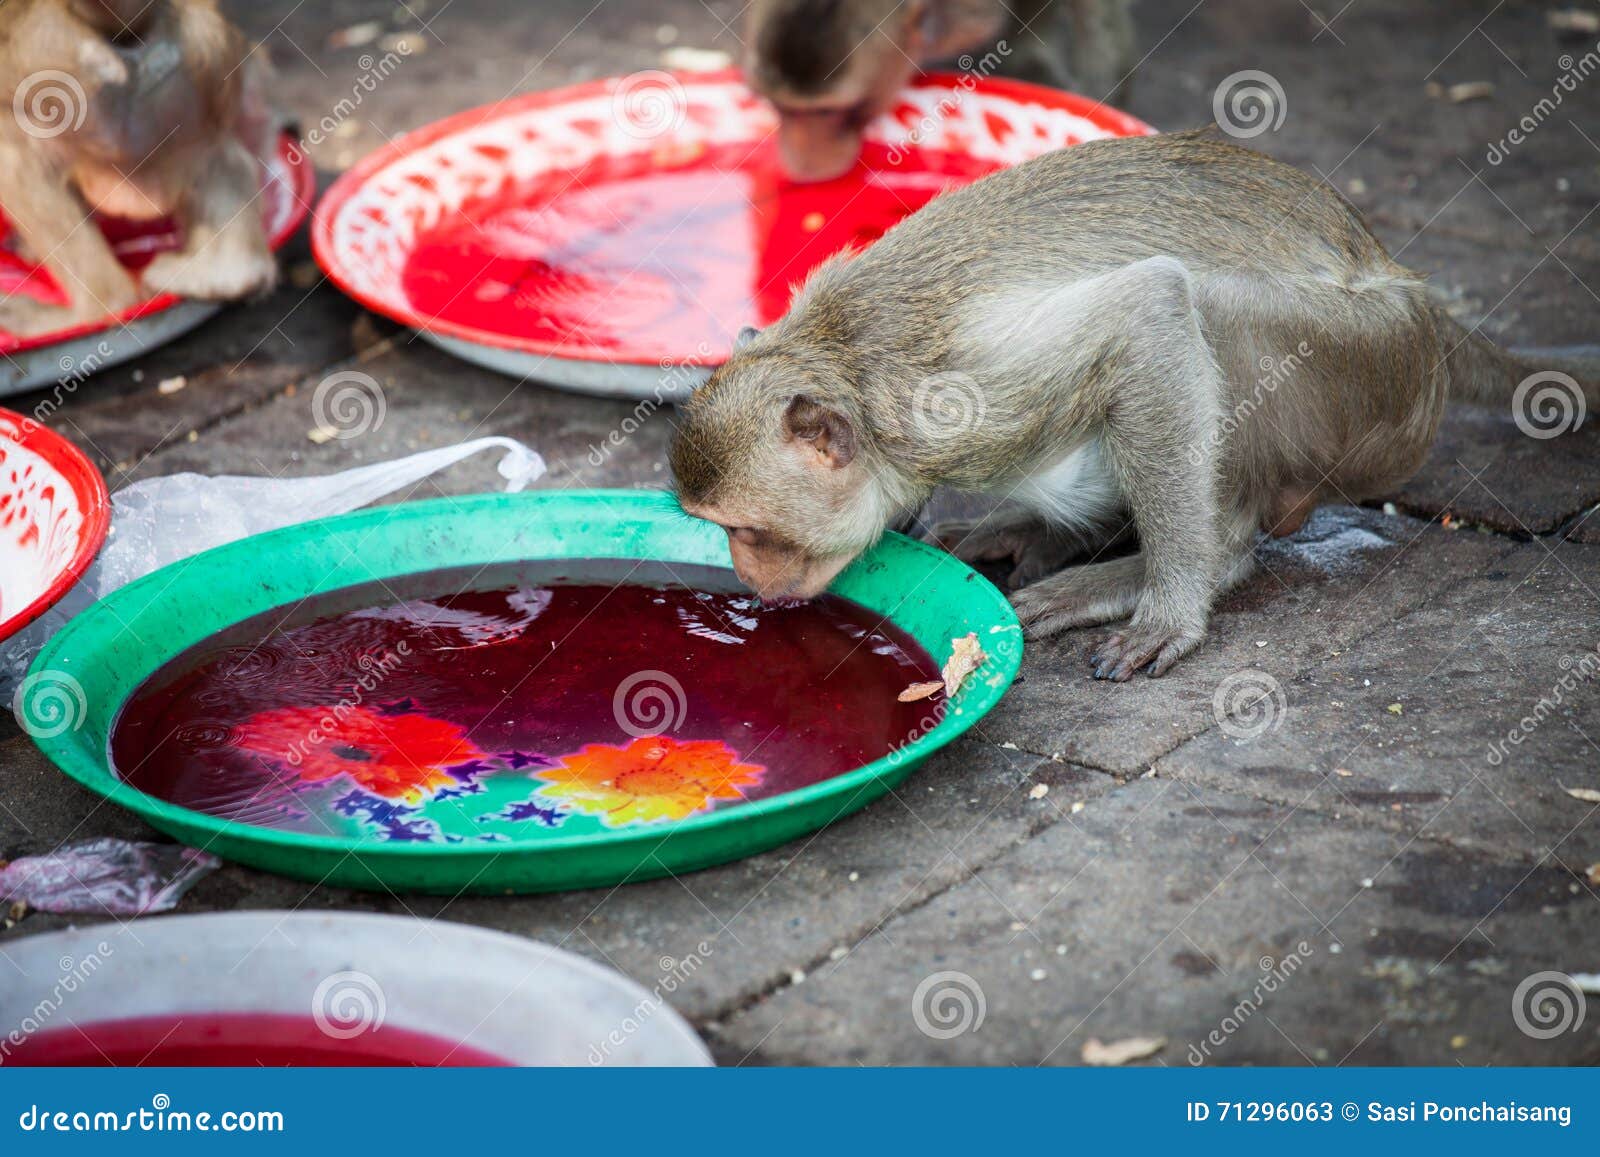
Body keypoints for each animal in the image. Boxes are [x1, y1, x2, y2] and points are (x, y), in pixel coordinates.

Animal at [0, 0, 278, 337]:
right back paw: (229, 273)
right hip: (194, 74)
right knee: (218, 151)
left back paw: (95, 308)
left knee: (17, 159)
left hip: (71, 92)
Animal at [668, 129, 1599, 681]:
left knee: (1203, 305)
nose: (748, 579)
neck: (844, 355)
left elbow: (1147, 313)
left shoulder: (961, 401)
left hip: (1369, 358)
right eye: (722, 532)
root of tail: (1419, 298)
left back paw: (1174, 565)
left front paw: (1174, 602)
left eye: (749, 531)